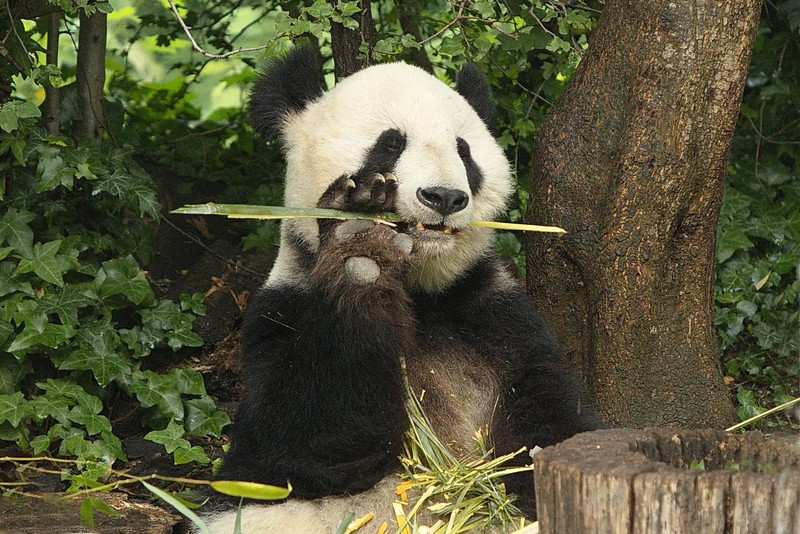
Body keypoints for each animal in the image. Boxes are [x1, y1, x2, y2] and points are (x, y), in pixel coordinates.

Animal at [207, 47, 599, 533]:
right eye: (391, 144)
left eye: (464, 151)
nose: (444, 197)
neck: (421, 293)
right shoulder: (280, 313)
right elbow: (290, 445)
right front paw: (360, 247)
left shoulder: (494, 313)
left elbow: (554, 419)